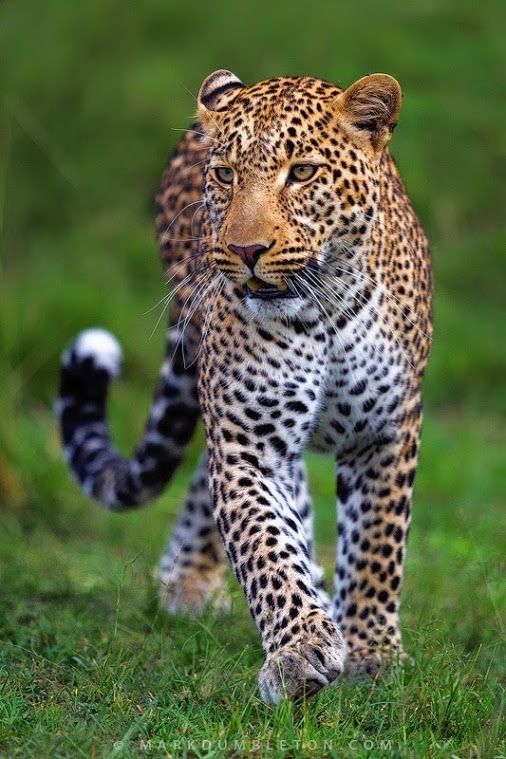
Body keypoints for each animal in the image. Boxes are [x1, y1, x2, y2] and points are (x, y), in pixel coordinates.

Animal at [57, 69, 432, 704]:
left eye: (302, 172)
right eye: (227, 175)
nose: (245, 251)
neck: (324, 308)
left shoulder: (385, 431)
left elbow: (378, 547)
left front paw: (374, 655)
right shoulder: (249, 442)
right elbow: (265, 544)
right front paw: (300, 651)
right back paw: (192, 584)